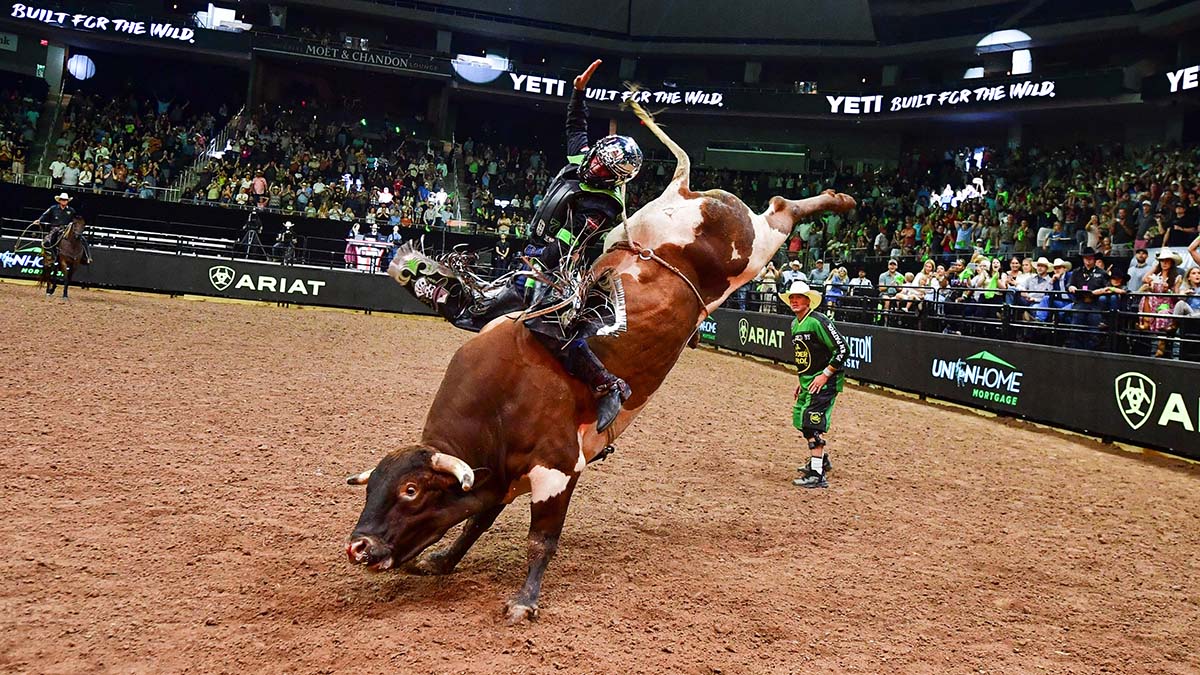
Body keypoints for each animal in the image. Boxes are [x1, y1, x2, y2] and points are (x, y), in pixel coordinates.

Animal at [345, 102, 855, 623]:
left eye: (411, 491)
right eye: (371, 488)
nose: (359, 547)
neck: (499, 404)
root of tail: (683, 194)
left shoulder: (557, 469)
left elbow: (541, 541)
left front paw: (524, 601)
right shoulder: (502, 480)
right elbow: (474, 523)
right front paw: (442, 561)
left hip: (754, 249)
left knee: (782, 208)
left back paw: (840, 200)